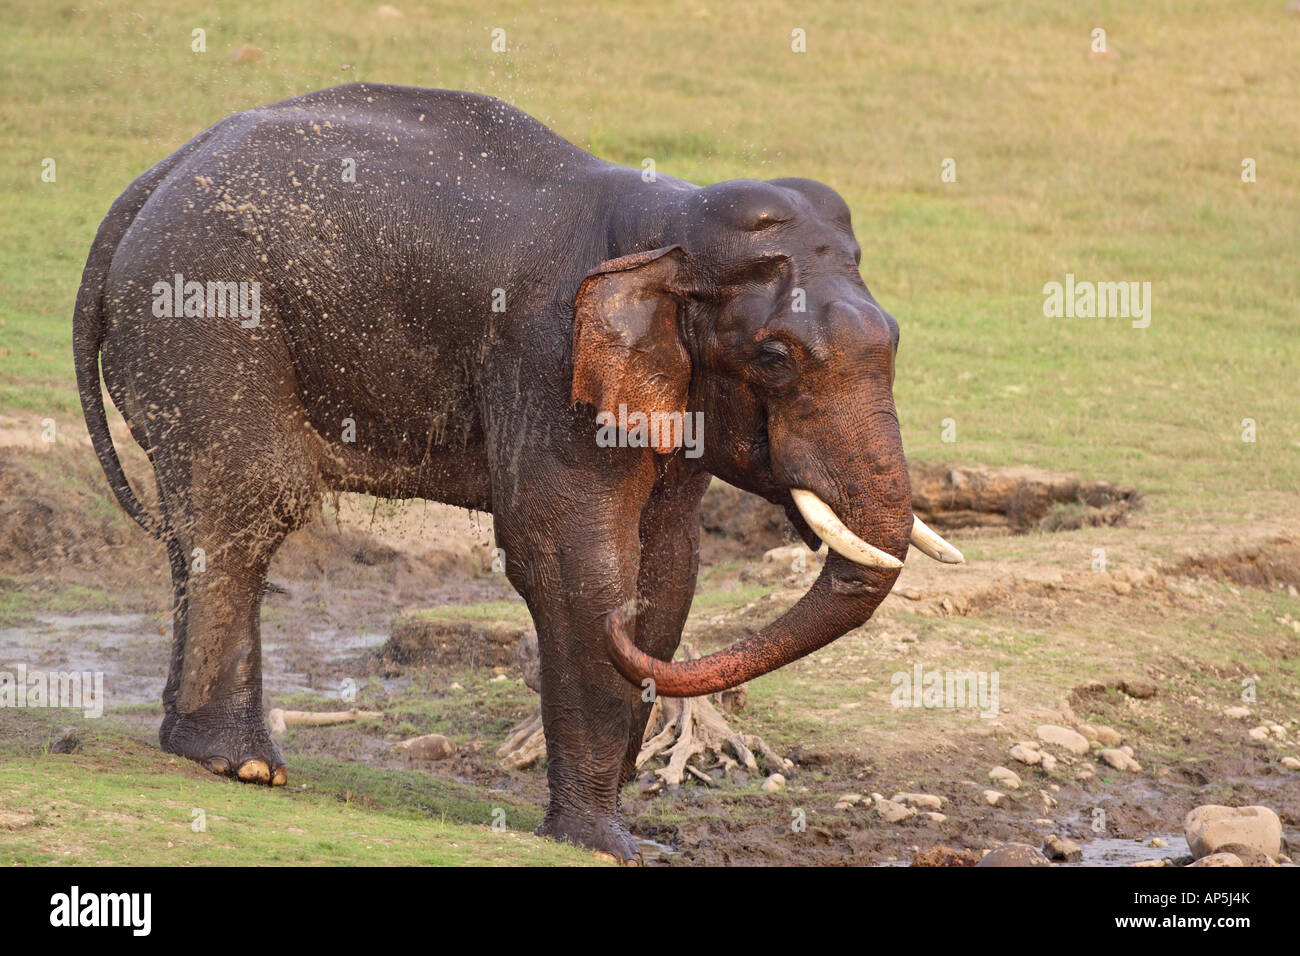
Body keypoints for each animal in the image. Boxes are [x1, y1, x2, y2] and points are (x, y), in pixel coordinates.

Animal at [74, 83, 963, 861]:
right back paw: (240, 765)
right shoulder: (545, 359)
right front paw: (603, 845)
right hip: (205, 317)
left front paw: (637, 839)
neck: (665, 223)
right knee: (251, 501)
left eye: (893, 338)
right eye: (776, 358)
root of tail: (146, 182)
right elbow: (570, 560)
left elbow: (669, 565)